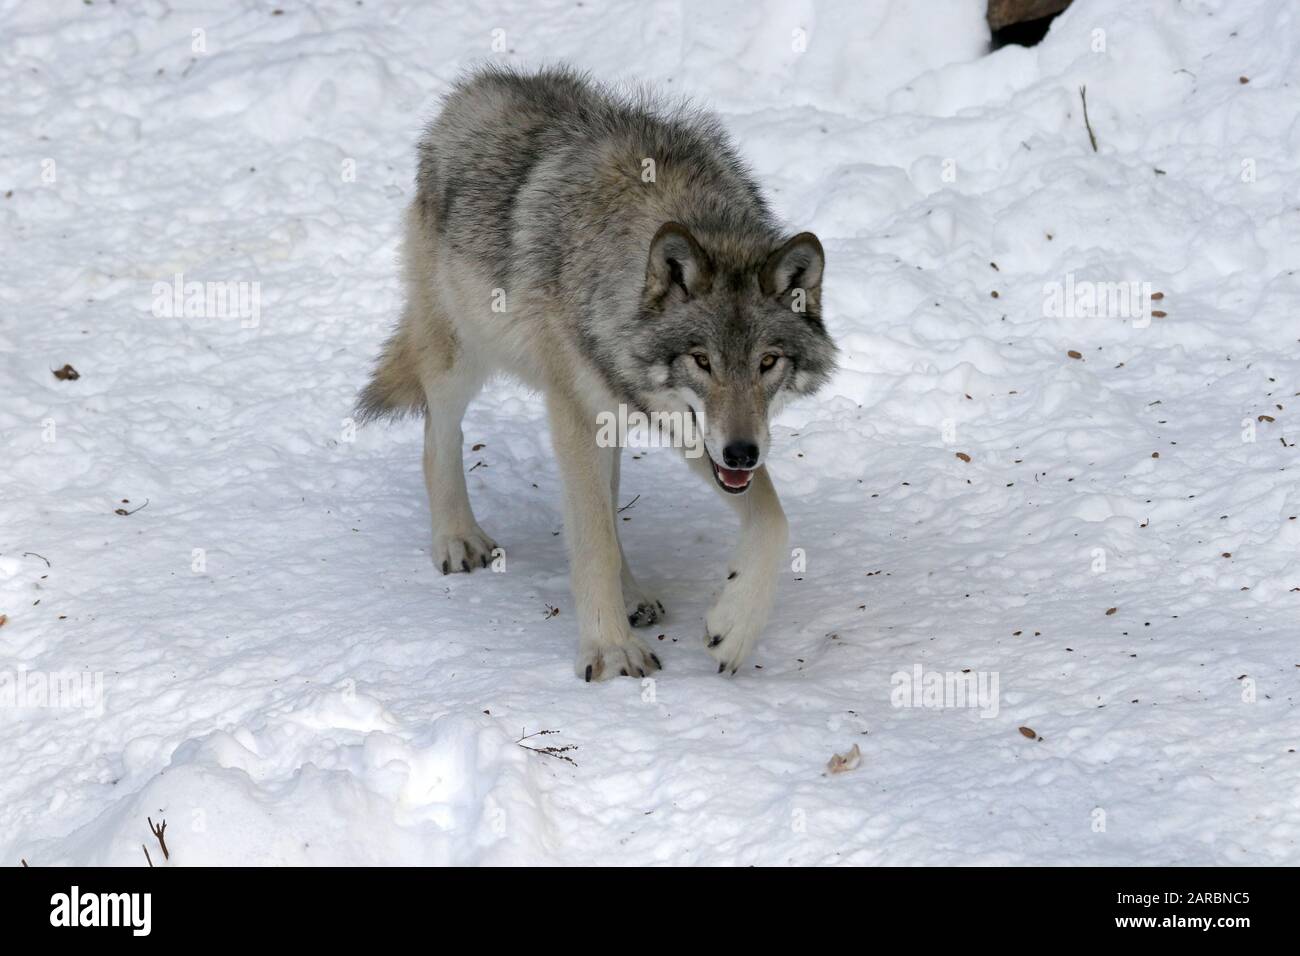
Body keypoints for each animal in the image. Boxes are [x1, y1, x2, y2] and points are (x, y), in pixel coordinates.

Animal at [357, 66, 836, 681]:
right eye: (702, 360)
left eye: (767, 362)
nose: (742, 454)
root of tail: (475, 87)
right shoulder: (580, 413)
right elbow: (594, 541)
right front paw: (610, 651)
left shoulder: (670, 418)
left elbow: (773, 520)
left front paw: (734, 628)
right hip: (460, 354)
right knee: (439, 435)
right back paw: (457, 539)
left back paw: (633, 595)